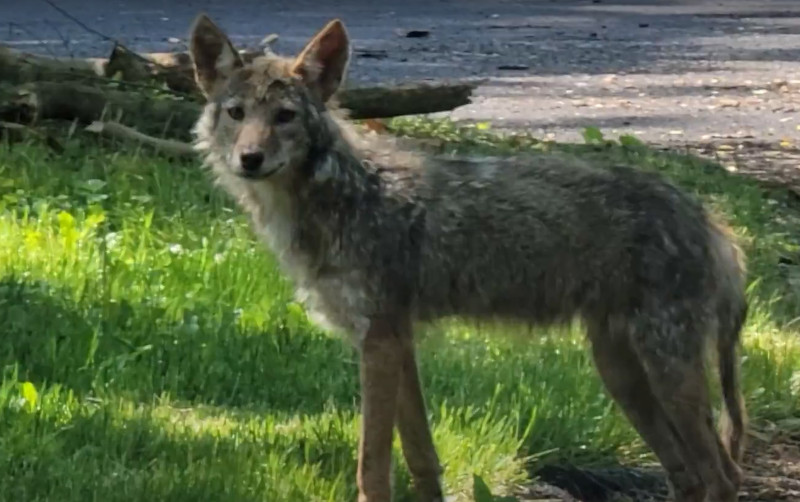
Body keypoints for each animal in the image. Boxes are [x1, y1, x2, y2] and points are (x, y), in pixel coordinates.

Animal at [187, 13, 748, 502]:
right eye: (237, 113)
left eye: (284, 116)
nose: (249, 159)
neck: (346, 196)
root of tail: (713, 222)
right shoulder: (398, 342)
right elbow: (422, 461)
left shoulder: (380, 342)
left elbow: (373, 467)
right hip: (622, 375)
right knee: (691, 476)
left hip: (665, 370)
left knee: (723, 475)